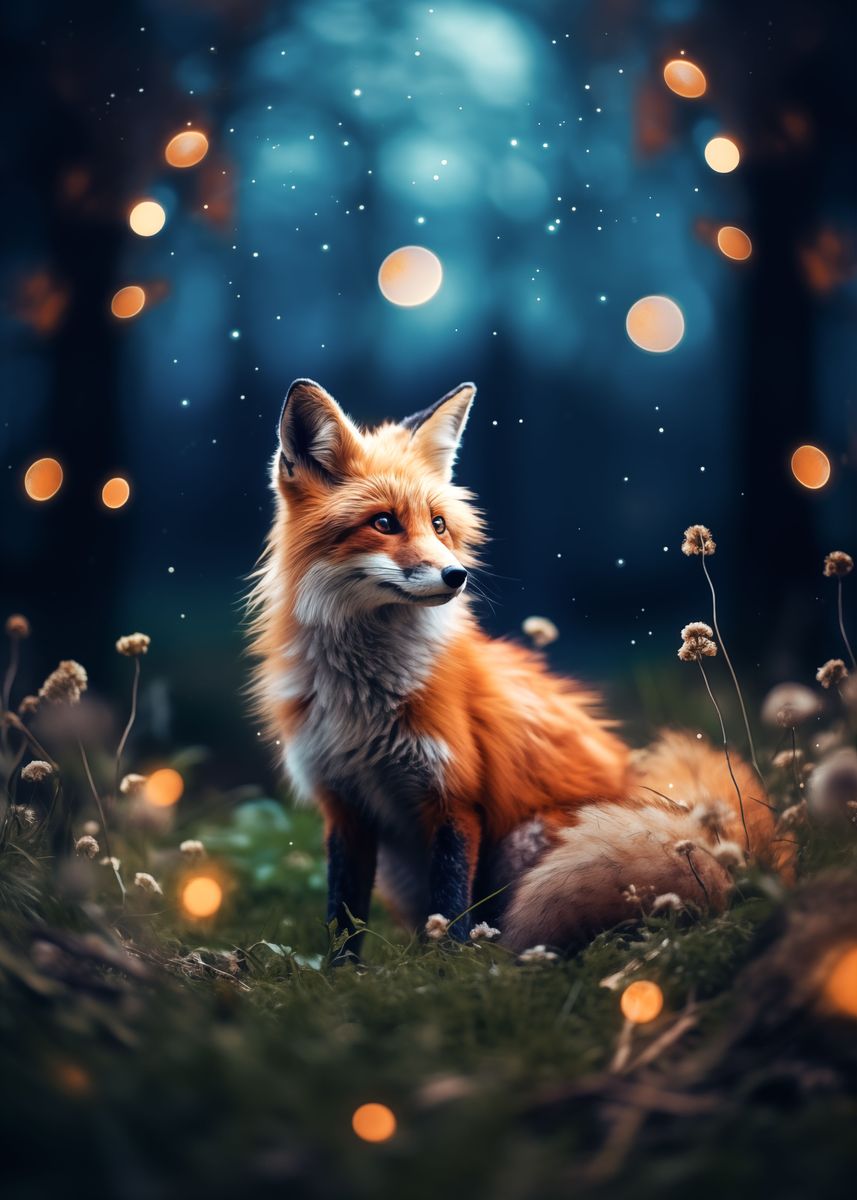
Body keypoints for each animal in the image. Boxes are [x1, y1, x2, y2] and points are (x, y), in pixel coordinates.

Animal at [249, 378, 787, 955]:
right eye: (384, 523)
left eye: (438, 525)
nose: (456, 575)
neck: (363, 698)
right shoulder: (344, 805)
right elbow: (342, 916)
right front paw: (343, 972)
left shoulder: (454, 795)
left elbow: (451, 910)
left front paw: (446, 970)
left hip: (525, 839)